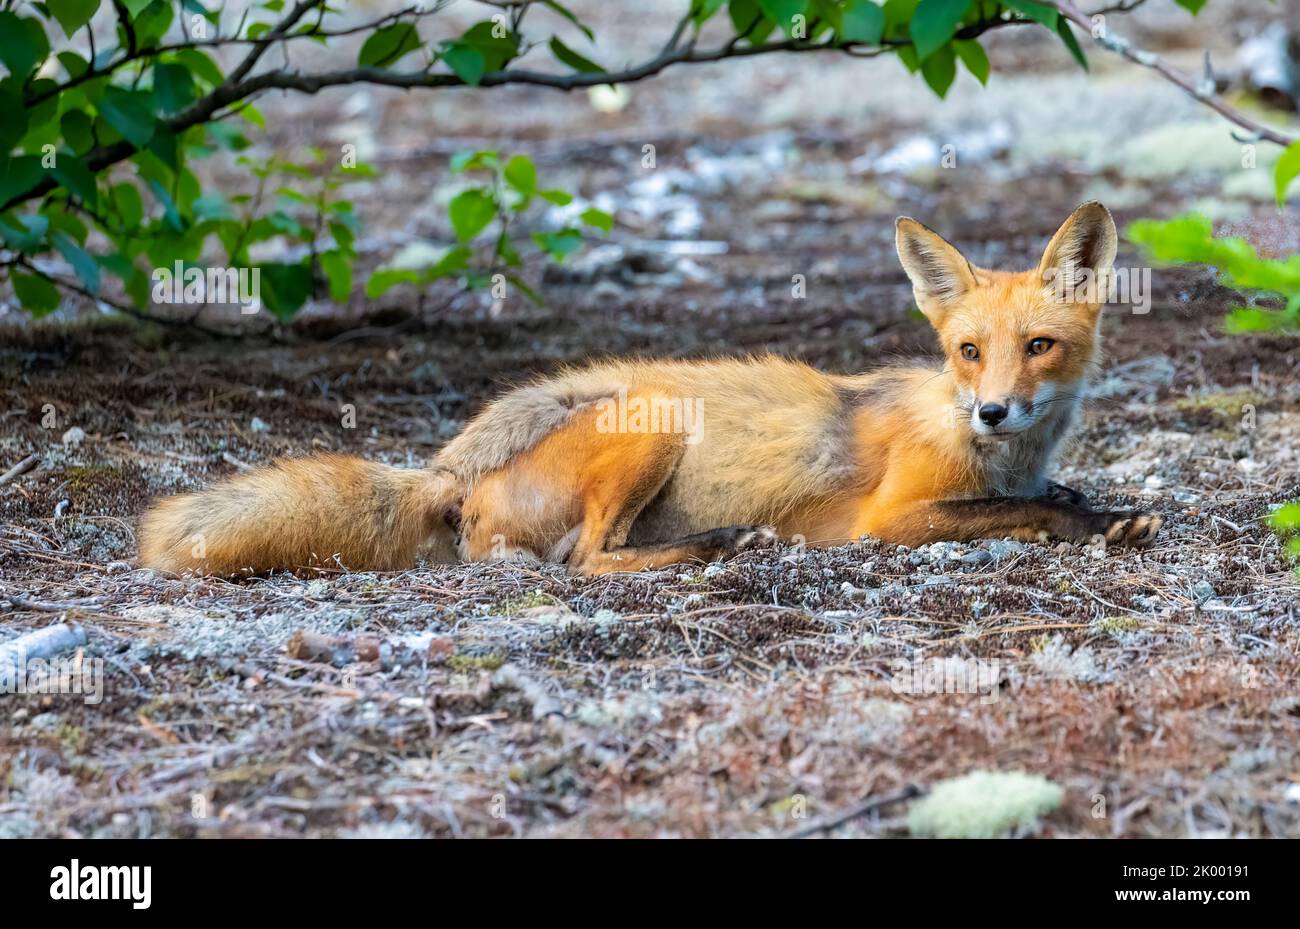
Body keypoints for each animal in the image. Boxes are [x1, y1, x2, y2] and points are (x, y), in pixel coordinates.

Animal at [139, 201, 1163, 578]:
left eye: (1038, 347)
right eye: (966, 351)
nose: (991, 409)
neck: (997, 452)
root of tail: (461, 482)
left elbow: (1046, 497)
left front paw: (1096, 508)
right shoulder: (897, 516)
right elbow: (1020, 512)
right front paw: (1093, 522)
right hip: (658, 431)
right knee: (588, 560)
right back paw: (715, 543)